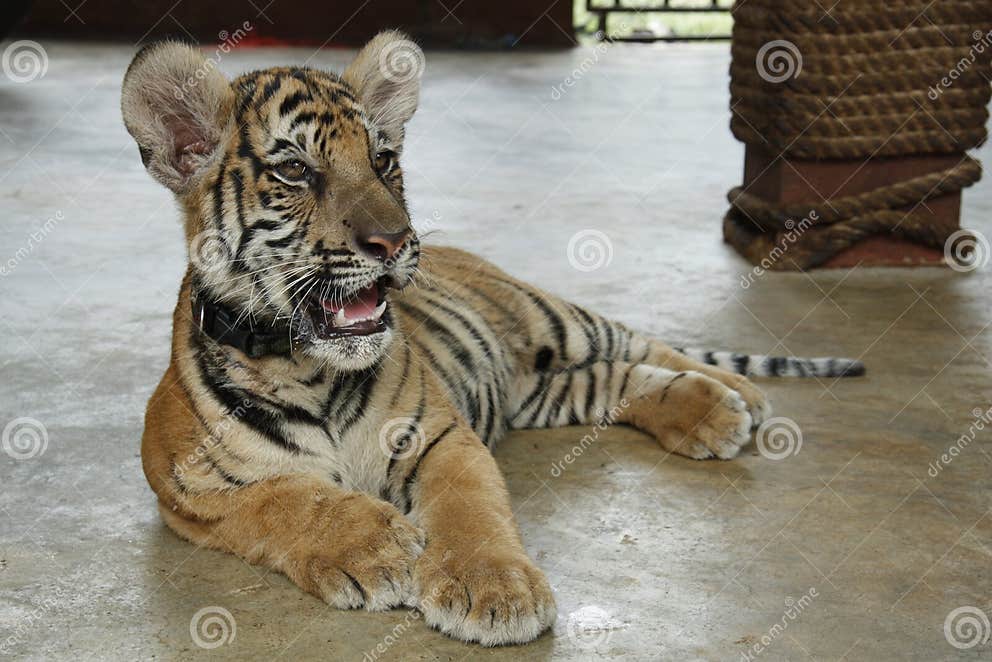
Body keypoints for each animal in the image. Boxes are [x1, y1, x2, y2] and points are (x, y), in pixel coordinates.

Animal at [122, 32, 864, 647]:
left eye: (384, 160)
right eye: (296, 171)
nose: (394, 240)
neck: (308, 368)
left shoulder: (441, 435)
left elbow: (470, 507)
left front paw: (493, 592)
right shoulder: (181, 484)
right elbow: (285, 498)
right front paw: (377, 545)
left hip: (554, 317)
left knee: (647, 345)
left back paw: (739, 396)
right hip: (545, 391)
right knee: (616, 381)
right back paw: (708, 413)